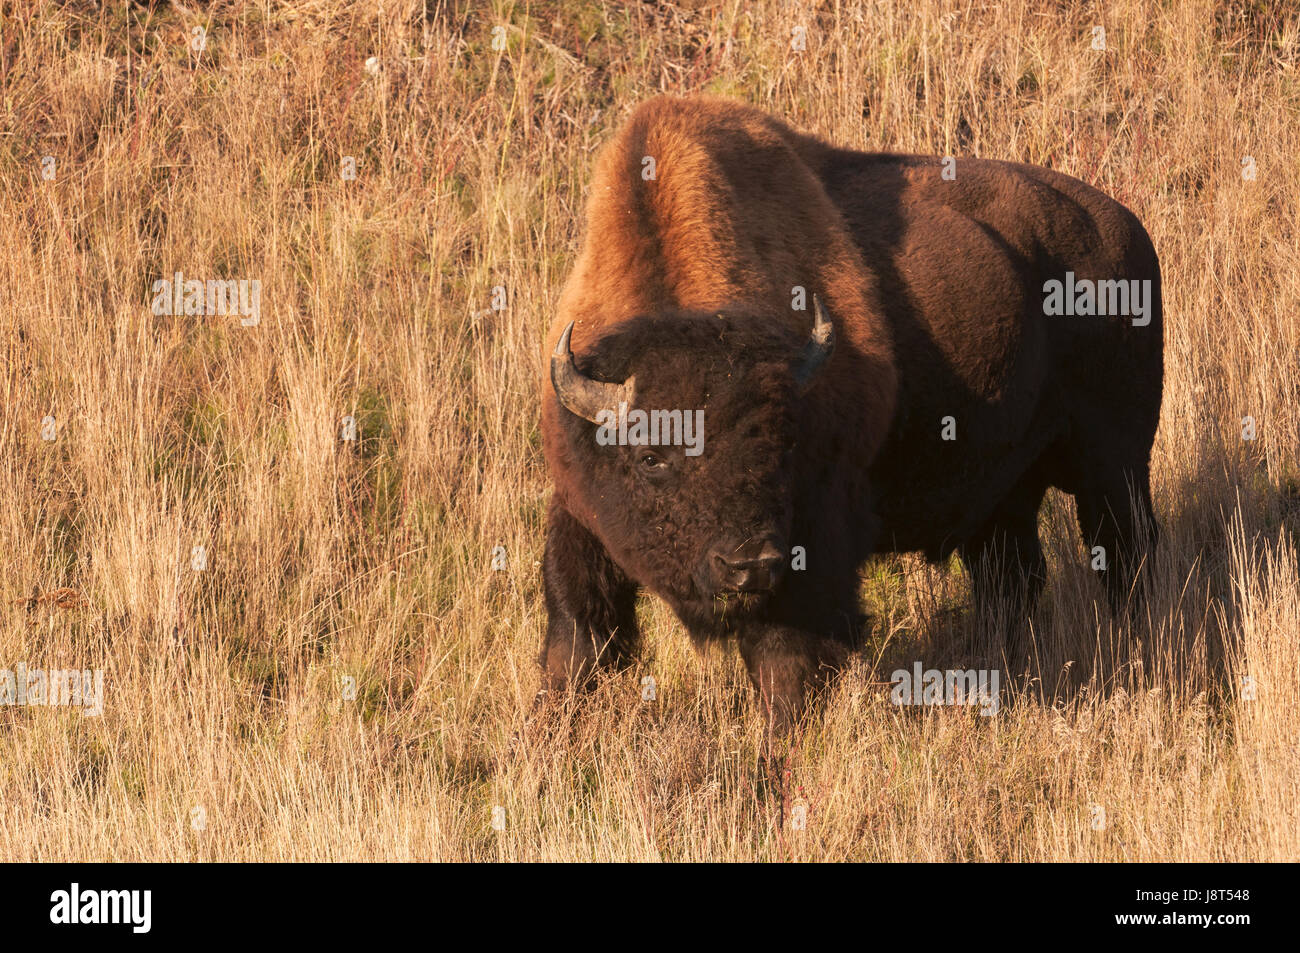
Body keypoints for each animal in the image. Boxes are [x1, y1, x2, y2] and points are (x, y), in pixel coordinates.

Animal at [539, 96, 1162, 728]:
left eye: (784, 447)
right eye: (650, 457)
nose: (748, 564)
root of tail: (1125, 228)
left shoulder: (814, 544)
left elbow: (787, 661)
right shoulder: (578, 513)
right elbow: (577, 635)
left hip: (1114, 464)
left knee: (1123, 553)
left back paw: (1134, 647)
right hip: (1004, 492)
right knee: (1011, 577)